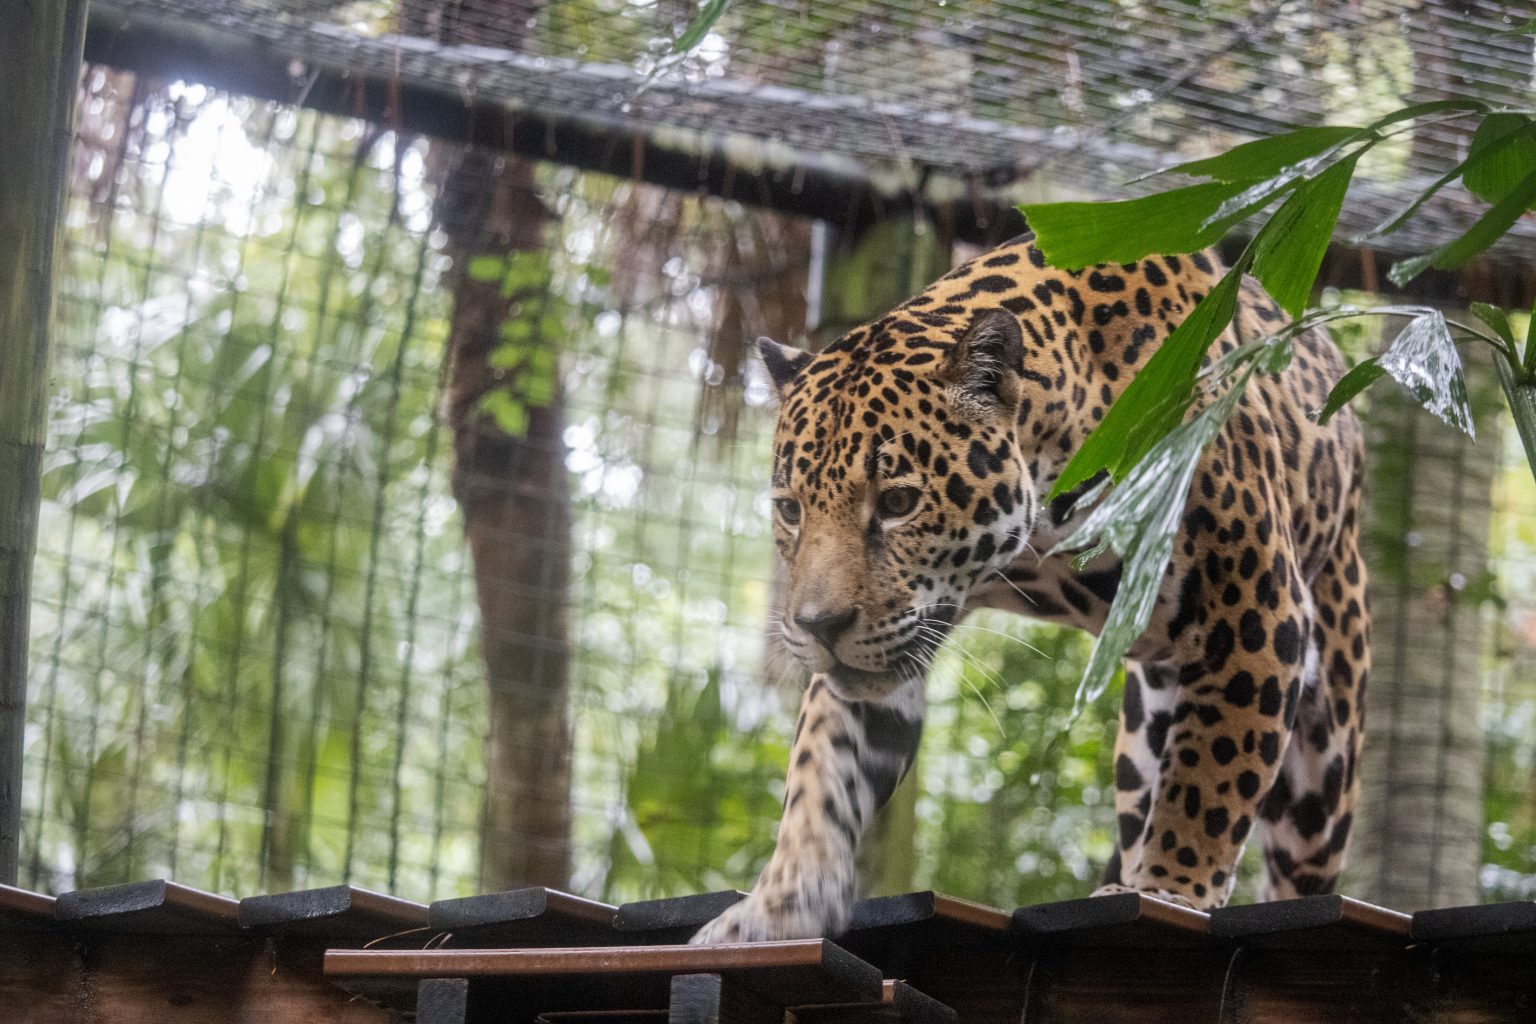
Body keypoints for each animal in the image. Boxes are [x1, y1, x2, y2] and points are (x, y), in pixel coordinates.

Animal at [691, 235, 1368, 944]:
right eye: (791, 509)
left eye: (899, 502)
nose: (819, 627)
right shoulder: (895, 648)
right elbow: (822, 767)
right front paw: (778, 904)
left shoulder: (1255, 608)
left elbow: (1212, 776)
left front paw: (1171, 889)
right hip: (1144, 736)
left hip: (1320, 762)